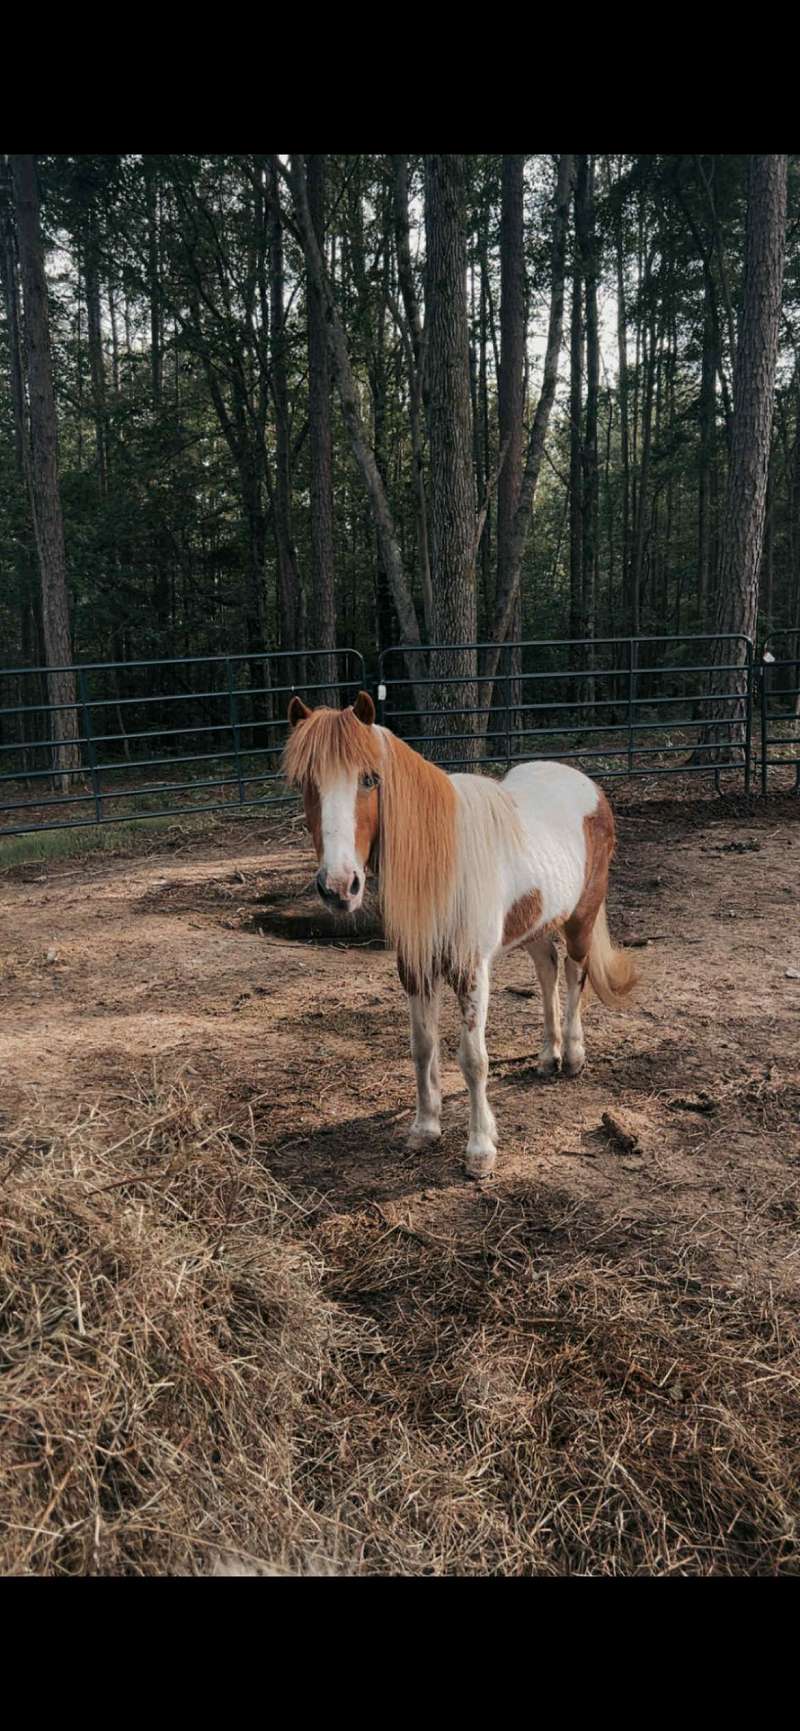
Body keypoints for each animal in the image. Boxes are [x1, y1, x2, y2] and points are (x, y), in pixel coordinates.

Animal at [283, 691, 637, 1178]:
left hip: (581, 917)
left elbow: (473, 1059)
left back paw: (573, 1057)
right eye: (307, 783)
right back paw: (548, 1057)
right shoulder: (415, 967)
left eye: (370, 779)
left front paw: (480, 1149)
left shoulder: (471, 971)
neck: (441, 865)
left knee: (573, 972)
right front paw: (425, 1127)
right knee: (547, 970)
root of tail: (588, 786)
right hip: (535, 923)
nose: (339, 887)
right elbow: (423, 1046)